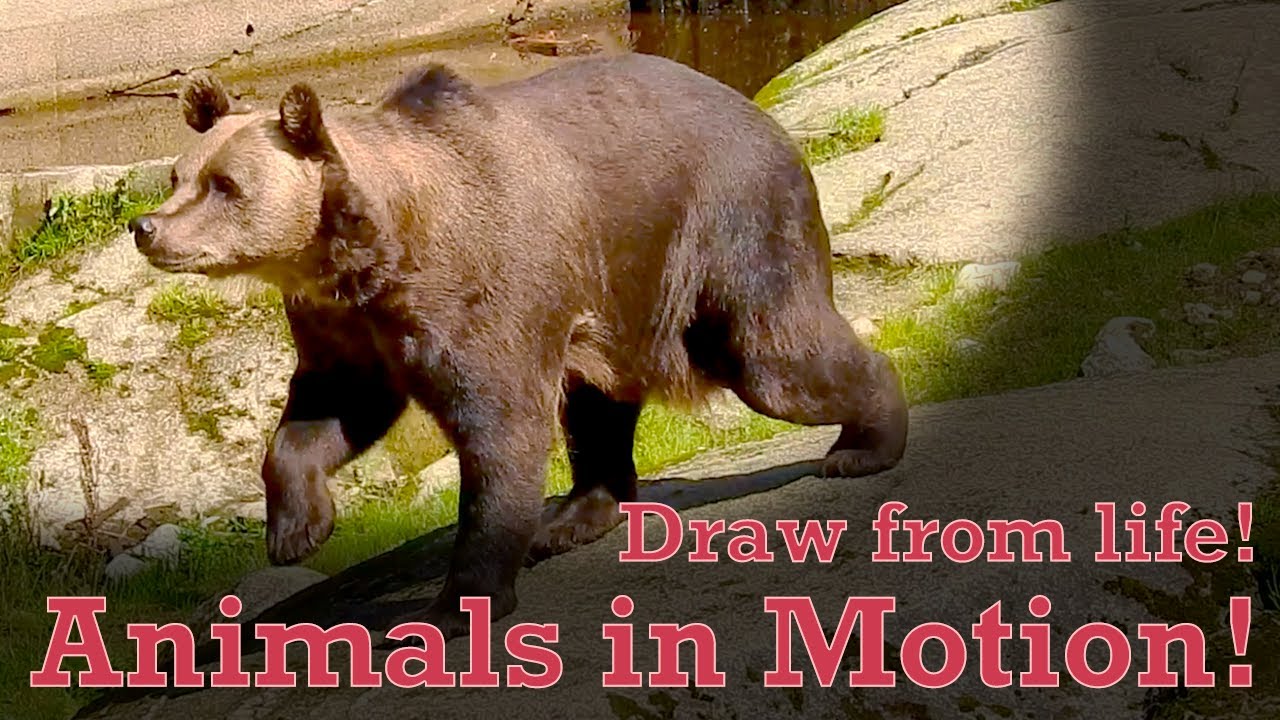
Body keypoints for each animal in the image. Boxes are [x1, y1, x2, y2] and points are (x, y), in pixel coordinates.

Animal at [129, 52, 908, 639]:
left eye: (225, 184)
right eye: (177, 175)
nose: (147, 227)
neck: (371, 253)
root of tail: (765, 113)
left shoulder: (481, 288)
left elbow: (499, 429)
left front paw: (451, 606)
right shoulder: (347, 324)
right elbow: (330, 410)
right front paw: (297, 530)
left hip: (720, 231)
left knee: (775, 358)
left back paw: (867, 442)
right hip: (614, 291)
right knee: (597, 405)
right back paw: (571, 517)